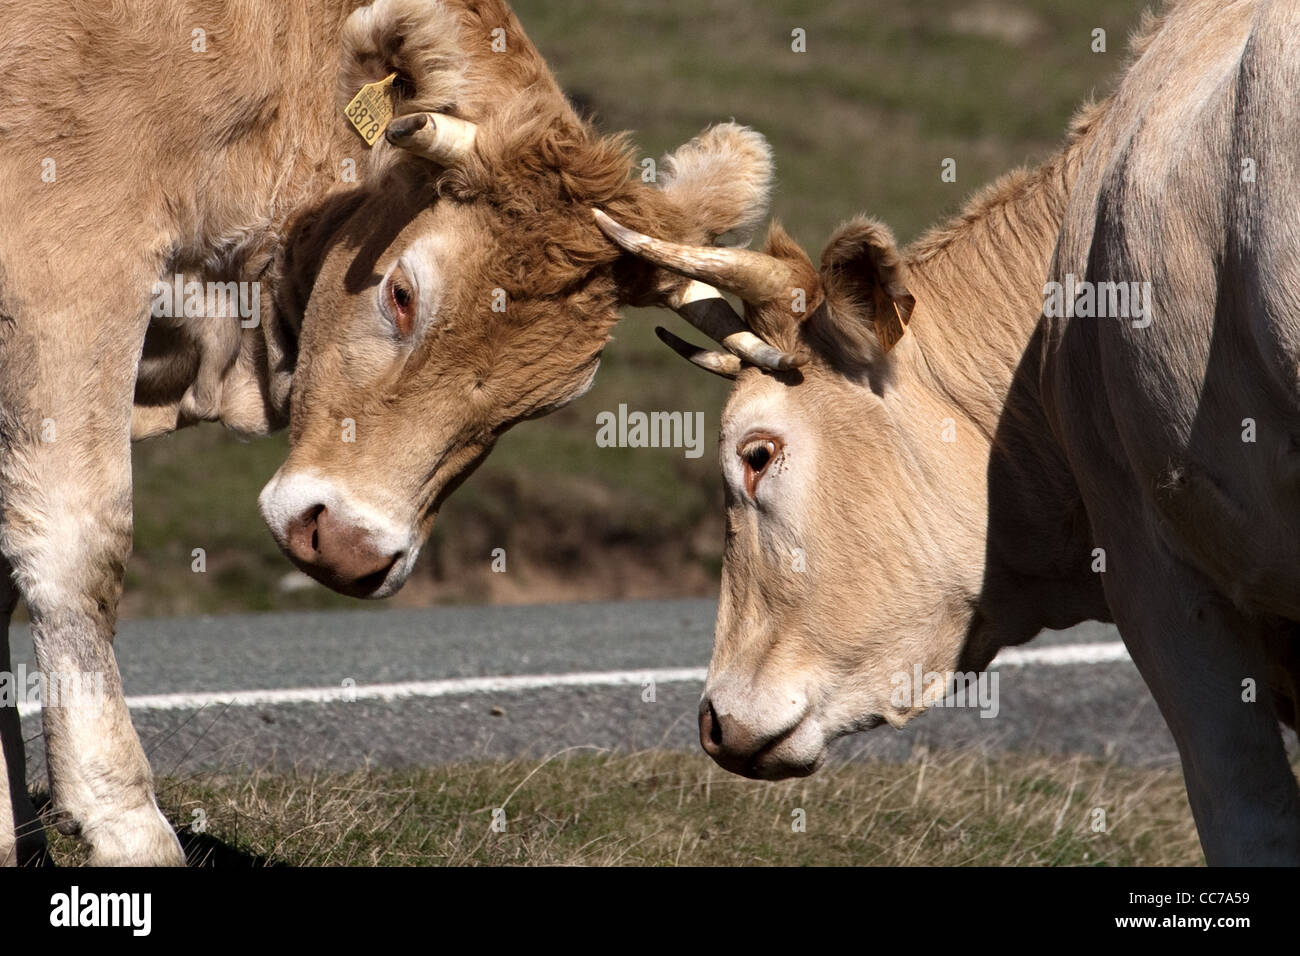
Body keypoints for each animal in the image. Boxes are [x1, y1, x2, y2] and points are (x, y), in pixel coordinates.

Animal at [0, 0, 777, 865]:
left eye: (549, 399)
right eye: (402, 295)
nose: (346, 547)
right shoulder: (72, 272)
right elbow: (77, 548)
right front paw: (126, 820)